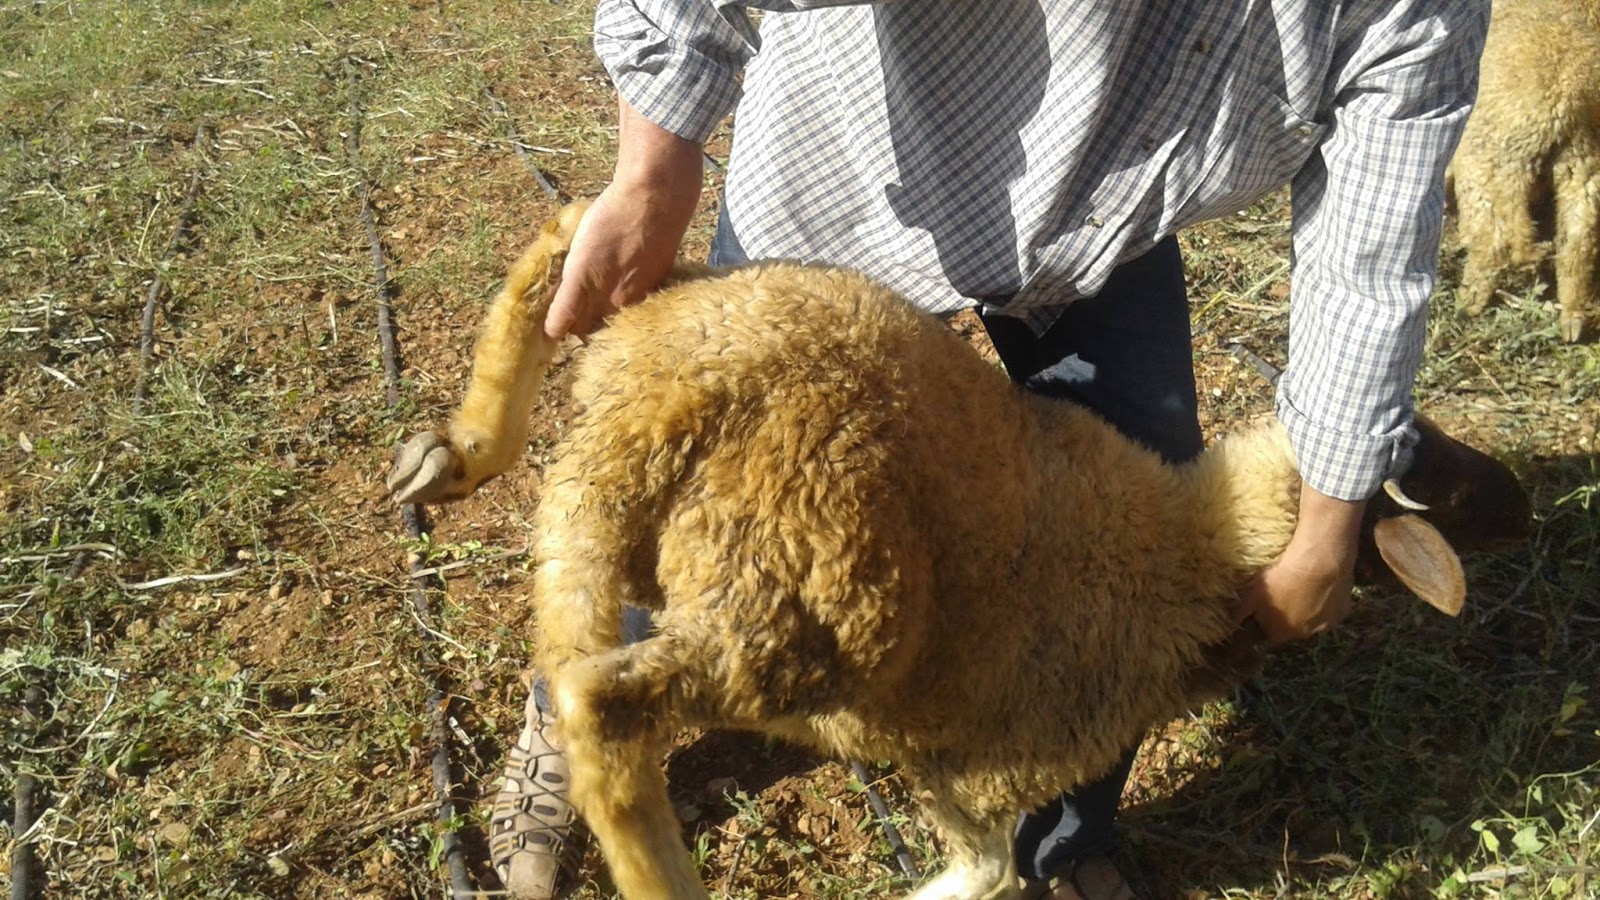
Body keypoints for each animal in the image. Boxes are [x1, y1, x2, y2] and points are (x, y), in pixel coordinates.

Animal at [1450, 0, 1600, 343]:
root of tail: (1565, 101)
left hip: (1486, 156)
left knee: (1494, 240)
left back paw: (1467, 303)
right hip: (1582, 164)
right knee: (1578, 241)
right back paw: (1572, 321)